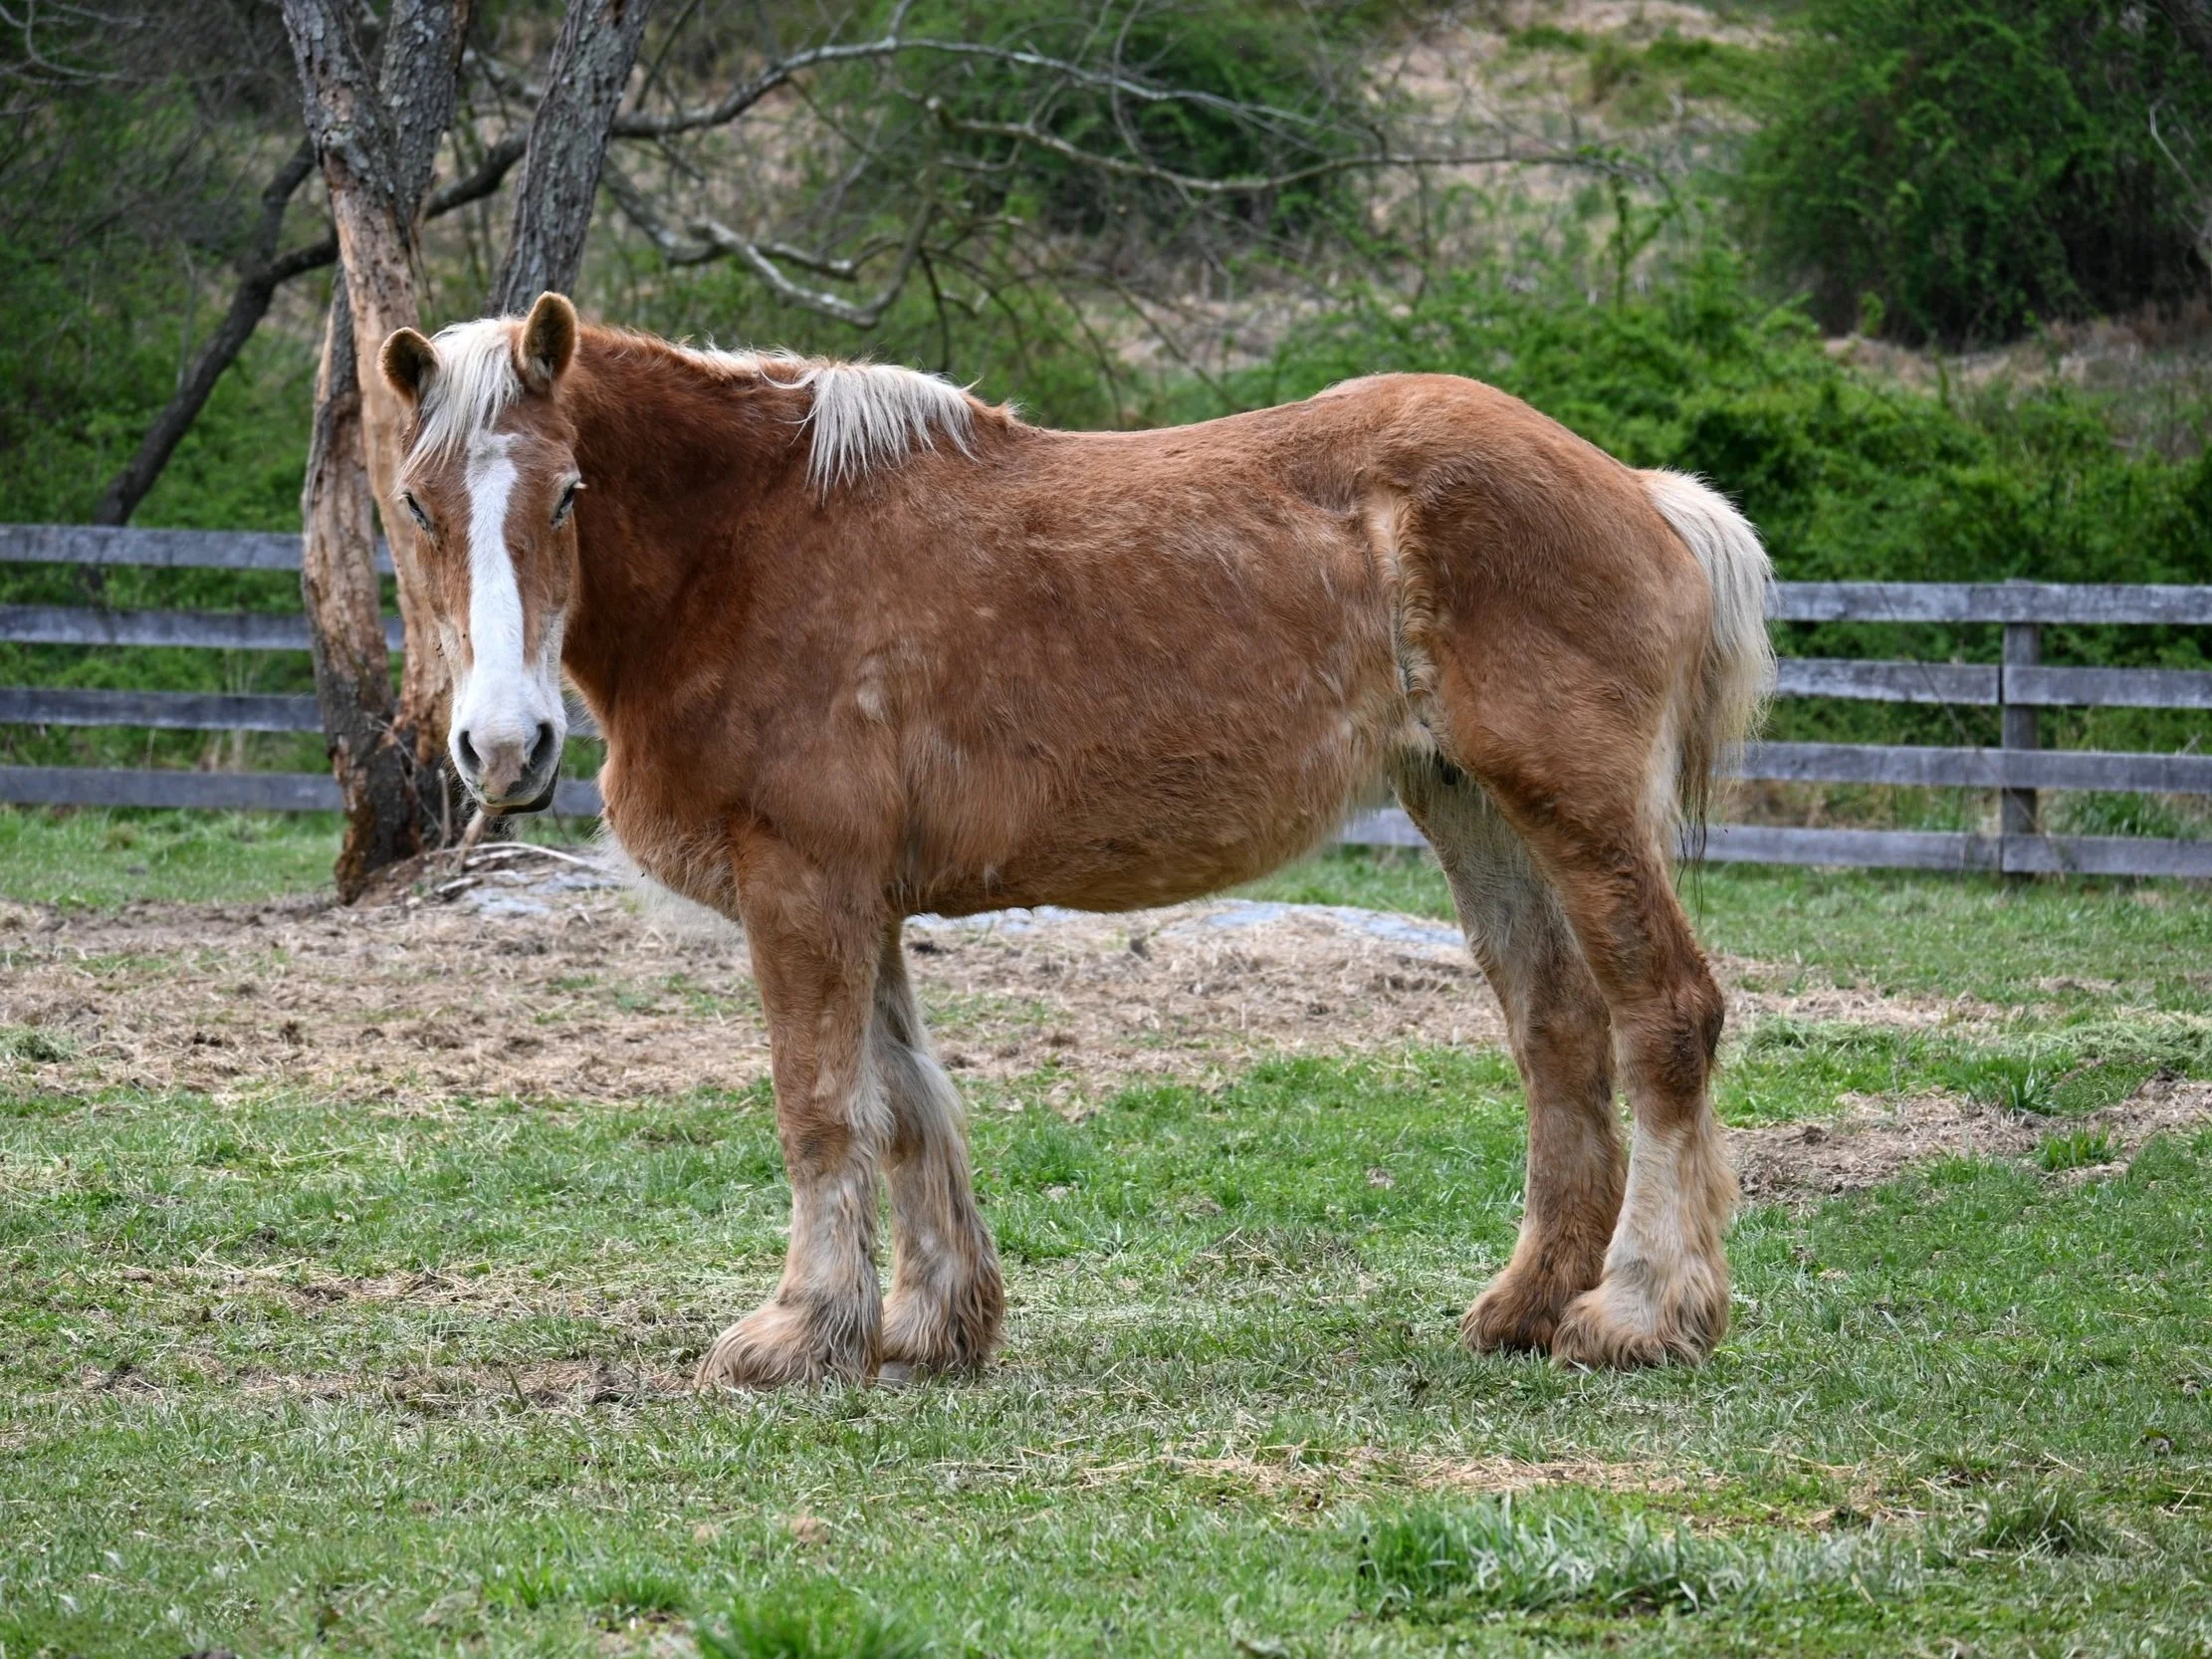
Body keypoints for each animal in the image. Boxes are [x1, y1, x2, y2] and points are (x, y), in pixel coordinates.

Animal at [377, 291, 1772, 1388]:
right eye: (416, 506)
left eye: (569, 492)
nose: (502, 748)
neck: (750, 549)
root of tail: (1641, 493)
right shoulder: (859, 899)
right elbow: (903, 1100)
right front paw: (932, 1324)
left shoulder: (804, 890)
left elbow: (819, 1106)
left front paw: (798, 1330)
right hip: (1470, 804)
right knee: (1555, 1030)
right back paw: (1528, 1304)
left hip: (1573, 809)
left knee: (1663, 1015)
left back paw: (1637, 1310)